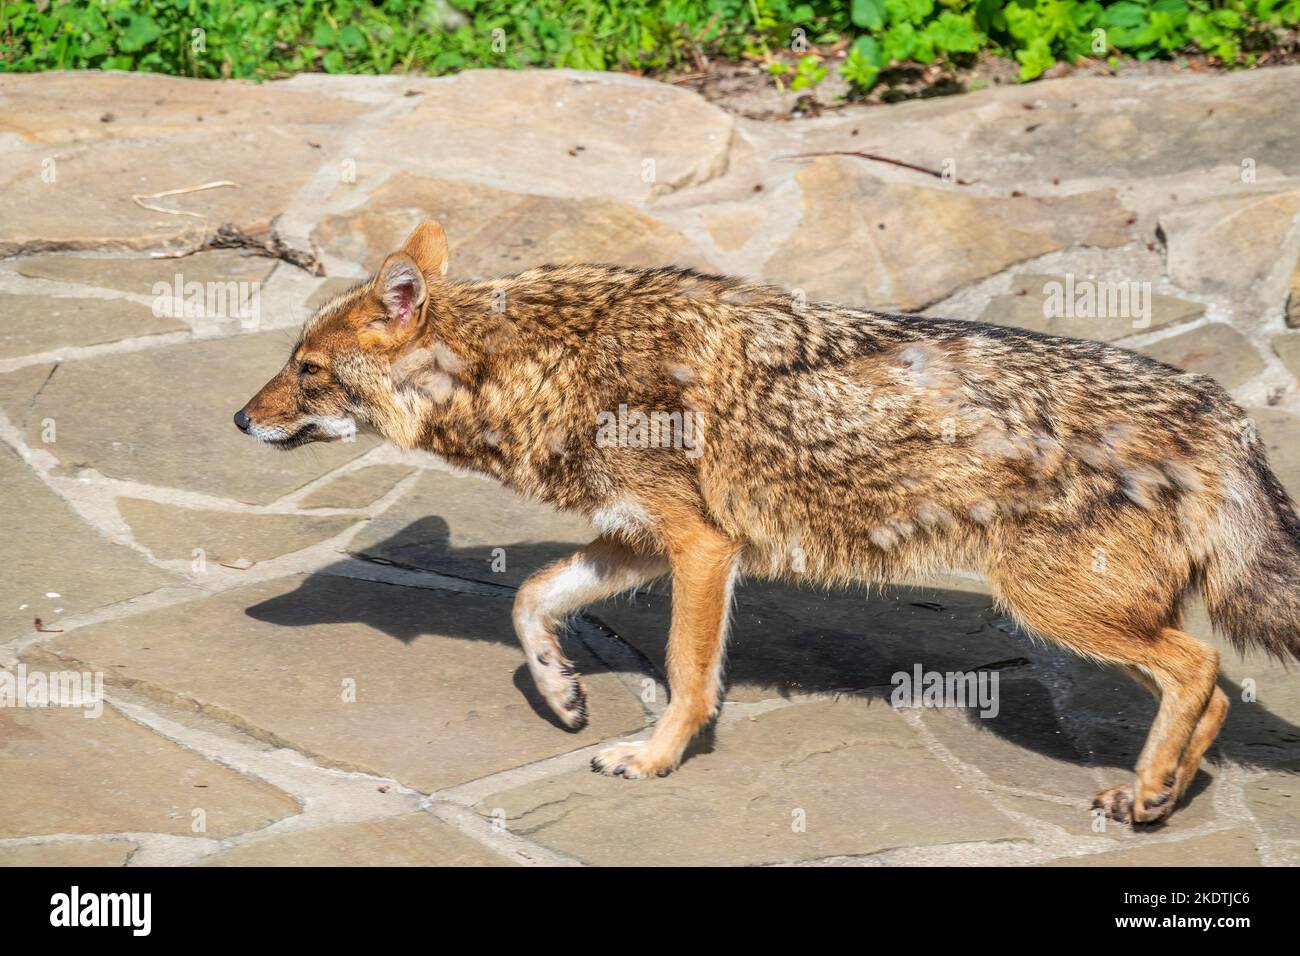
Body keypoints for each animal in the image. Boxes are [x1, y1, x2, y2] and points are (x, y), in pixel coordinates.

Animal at [236, 220, 1300, 824]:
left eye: (306, 370)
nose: (241, 421)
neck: (549, 360)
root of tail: (1222, 408)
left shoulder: (703, 547)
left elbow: (684, 673)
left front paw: (654, 759)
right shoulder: (637, 537)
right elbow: (530, 600)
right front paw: (563, 694)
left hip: (1056, 609)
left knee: (1200, 669)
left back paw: (1152, 788)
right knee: (1212, 691)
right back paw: (1154, 797)